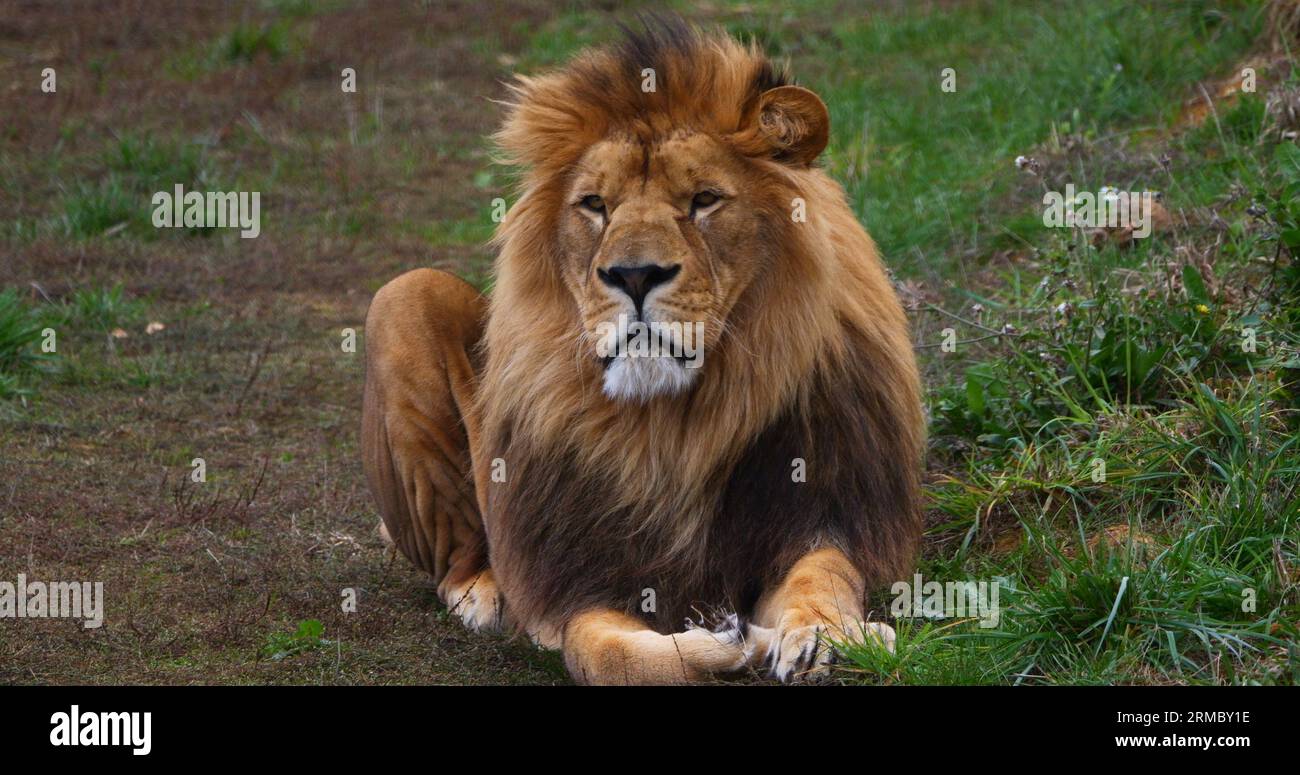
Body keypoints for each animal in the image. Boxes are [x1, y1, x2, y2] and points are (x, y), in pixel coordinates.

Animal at [361, 17, 925, 684]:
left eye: (704, 199)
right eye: (595, 206)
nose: (633, 274)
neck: (671, 429)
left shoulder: (822, 511)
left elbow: (825, 573)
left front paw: (824, 636)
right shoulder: (574, 582)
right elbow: (607, 652)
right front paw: (728, 641)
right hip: (399, 298)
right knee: (459, 558)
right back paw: (482, 594)